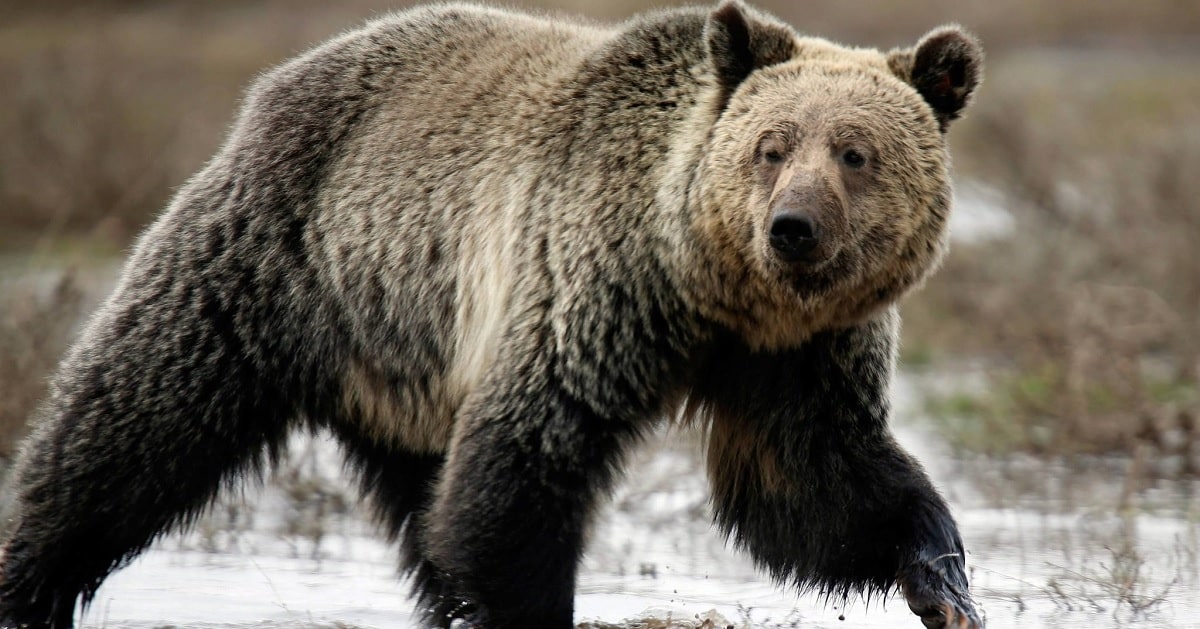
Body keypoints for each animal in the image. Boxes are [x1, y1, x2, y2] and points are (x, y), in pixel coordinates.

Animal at [0, 2, 983, 628]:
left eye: (855, 152)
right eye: (771, 147)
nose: (793, 227)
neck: (714, 290)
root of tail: (280, 81)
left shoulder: (800, 355)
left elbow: (812, 483)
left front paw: (943, 575)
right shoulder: (592, 286)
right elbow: (526, 459)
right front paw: (527, 609)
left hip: (408, 357)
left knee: (424, 501)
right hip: (277, 260)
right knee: (132, 423)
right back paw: (30, 576)